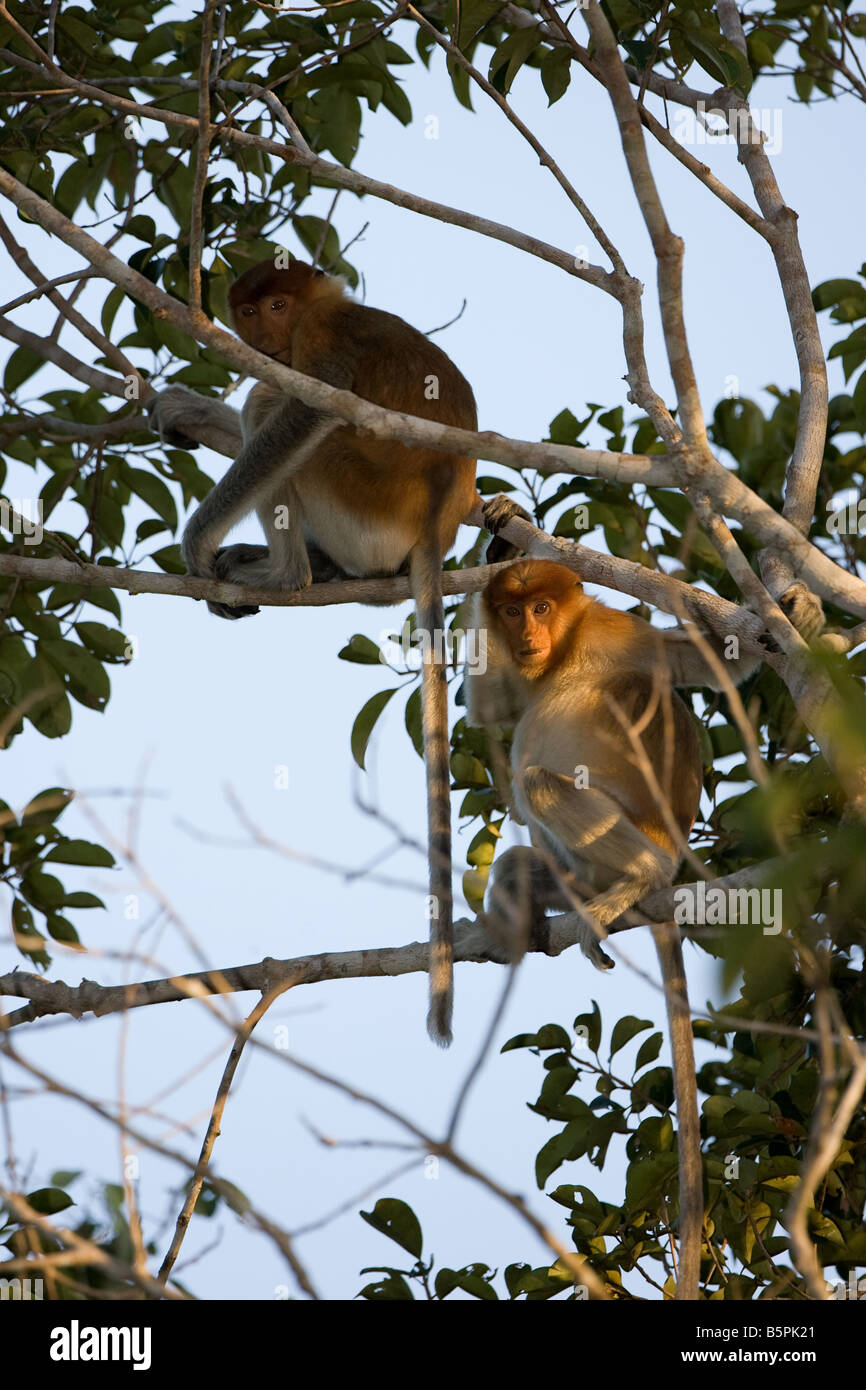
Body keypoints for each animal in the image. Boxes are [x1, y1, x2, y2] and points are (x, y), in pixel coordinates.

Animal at [148, 260, 479, 1045]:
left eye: (278, 303)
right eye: (248, 308)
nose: (258, 330)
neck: (311, 315)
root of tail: (435, 523)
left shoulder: (325, 343)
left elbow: (301, 414)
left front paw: (198, 540)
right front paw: (179, 406)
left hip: (360, 498)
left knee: (276, 405)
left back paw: (286, 575)